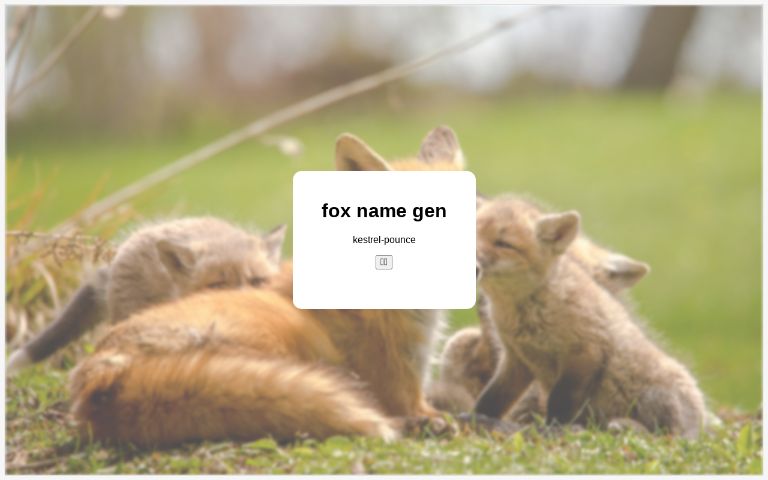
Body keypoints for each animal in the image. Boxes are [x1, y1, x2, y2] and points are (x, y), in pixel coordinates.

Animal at [471, 195, 707, 438]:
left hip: (655, 396)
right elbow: (491, 398)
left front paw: (554, 429)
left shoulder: (585, 352)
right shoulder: (517, 360)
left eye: (503, 244)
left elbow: (560, 402)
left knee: (665, 435)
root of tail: (701, 423)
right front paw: (475, 419)